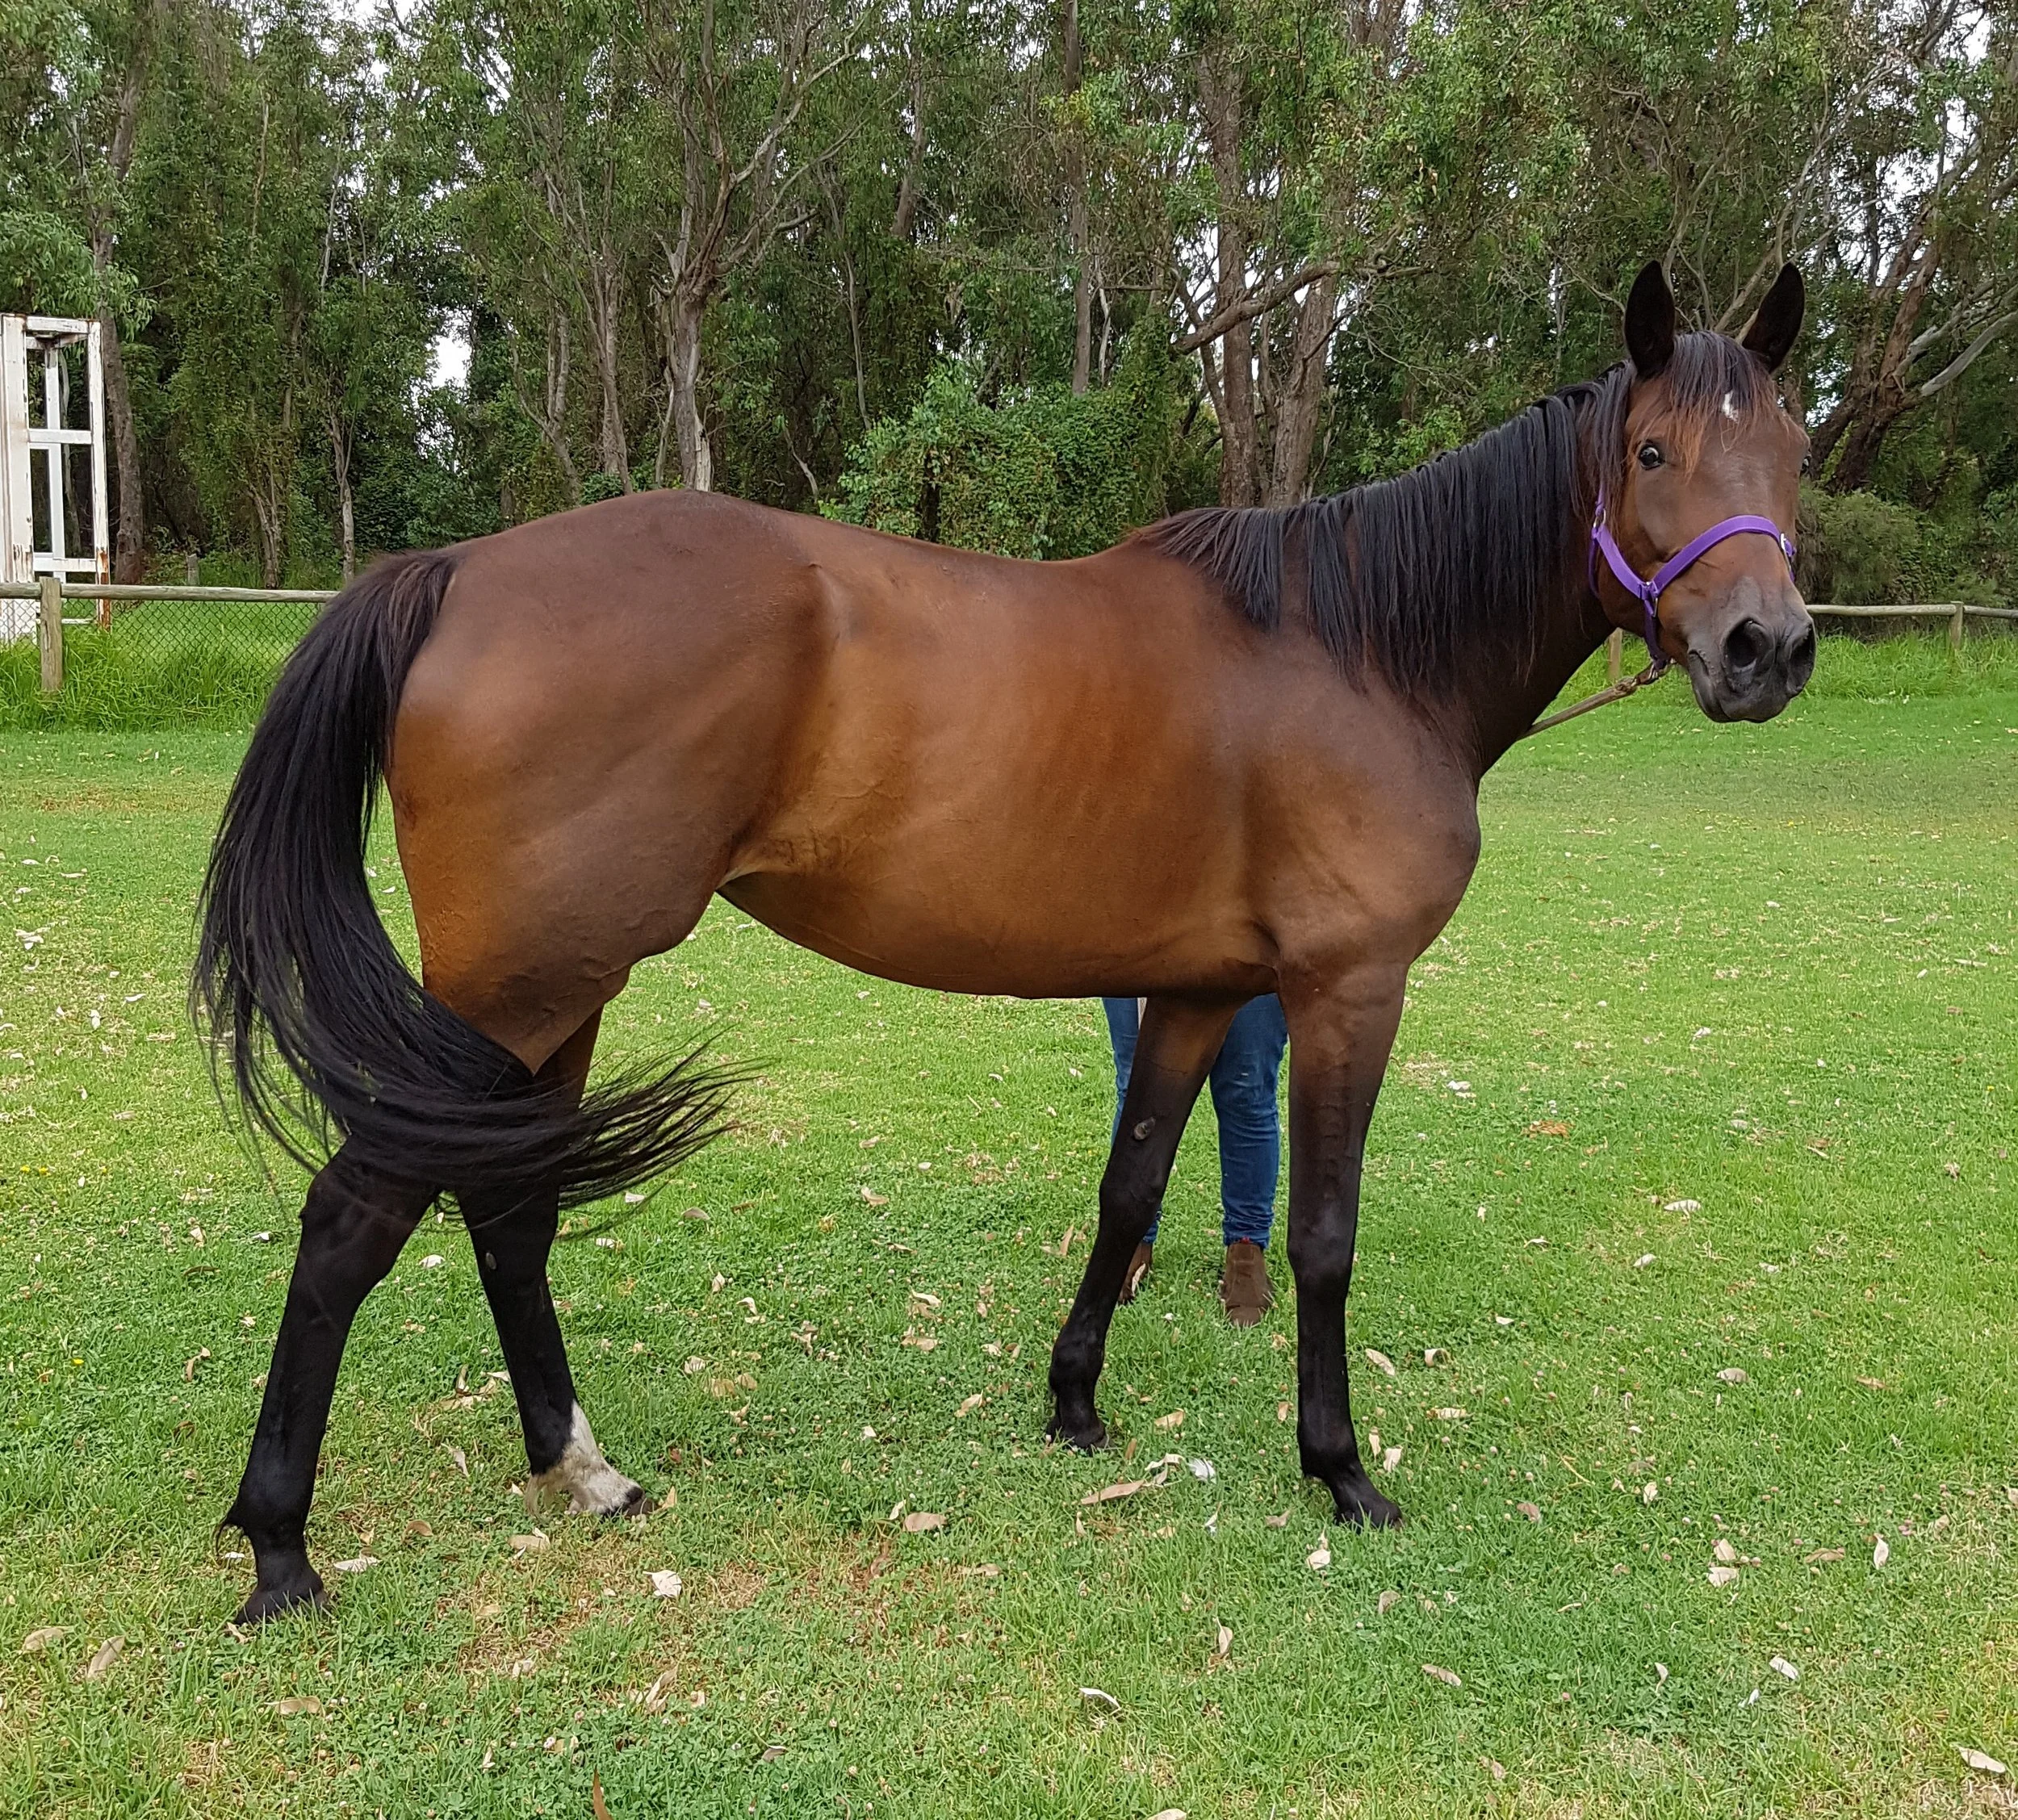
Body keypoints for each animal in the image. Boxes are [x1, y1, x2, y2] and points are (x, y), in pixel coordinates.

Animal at [195, 259, 1814, 1623]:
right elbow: (1324, 1235)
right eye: (1653, 453)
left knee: (509, 1212)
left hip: (555, 995)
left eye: (1793, 452)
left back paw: (581, 1469)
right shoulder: (1349, 990)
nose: (1768, 649)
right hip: (517, 989)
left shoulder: (1196, 991)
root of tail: (459, 571)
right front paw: (1341, 1468)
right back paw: (282, 1548)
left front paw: (1076, 1403)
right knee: (352, 1224)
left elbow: (1131, 1184)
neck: (1359, 650)